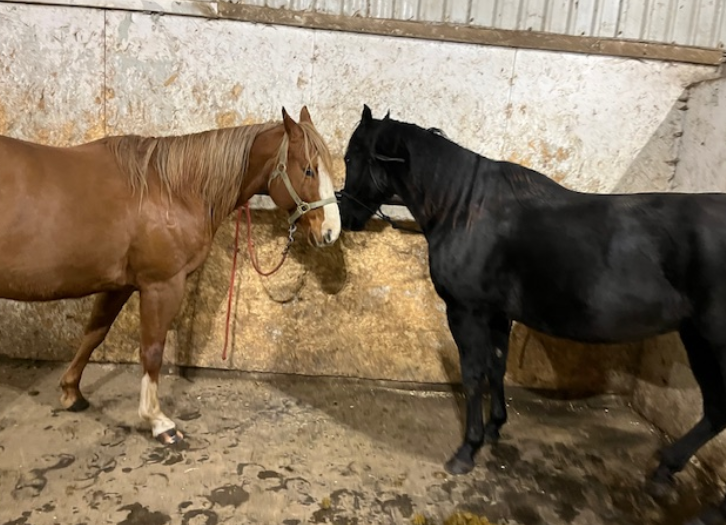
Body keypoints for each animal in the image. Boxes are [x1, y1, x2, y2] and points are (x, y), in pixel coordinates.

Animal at [0, 106, 340, 445]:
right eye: (308, 170)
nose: (331, 232)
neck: (171, 190)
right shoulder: (162, 286)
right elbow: (152, 350)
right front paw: (158, 421)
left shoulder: (120, 286)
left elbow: (94, 333)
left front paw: (71, 392)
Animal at [337, 105, 726, 525]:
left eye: (349, 158)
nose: (345, 215)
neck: (465, 209)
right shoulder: (496, 315)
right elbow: (496, 367)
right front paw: (494, 428)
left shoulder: (466, 312)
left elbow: (473, 375)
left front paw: (467, 450)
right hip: (696, 337)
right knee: (715, 412)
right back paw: (665, 470)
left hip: (711, 341)